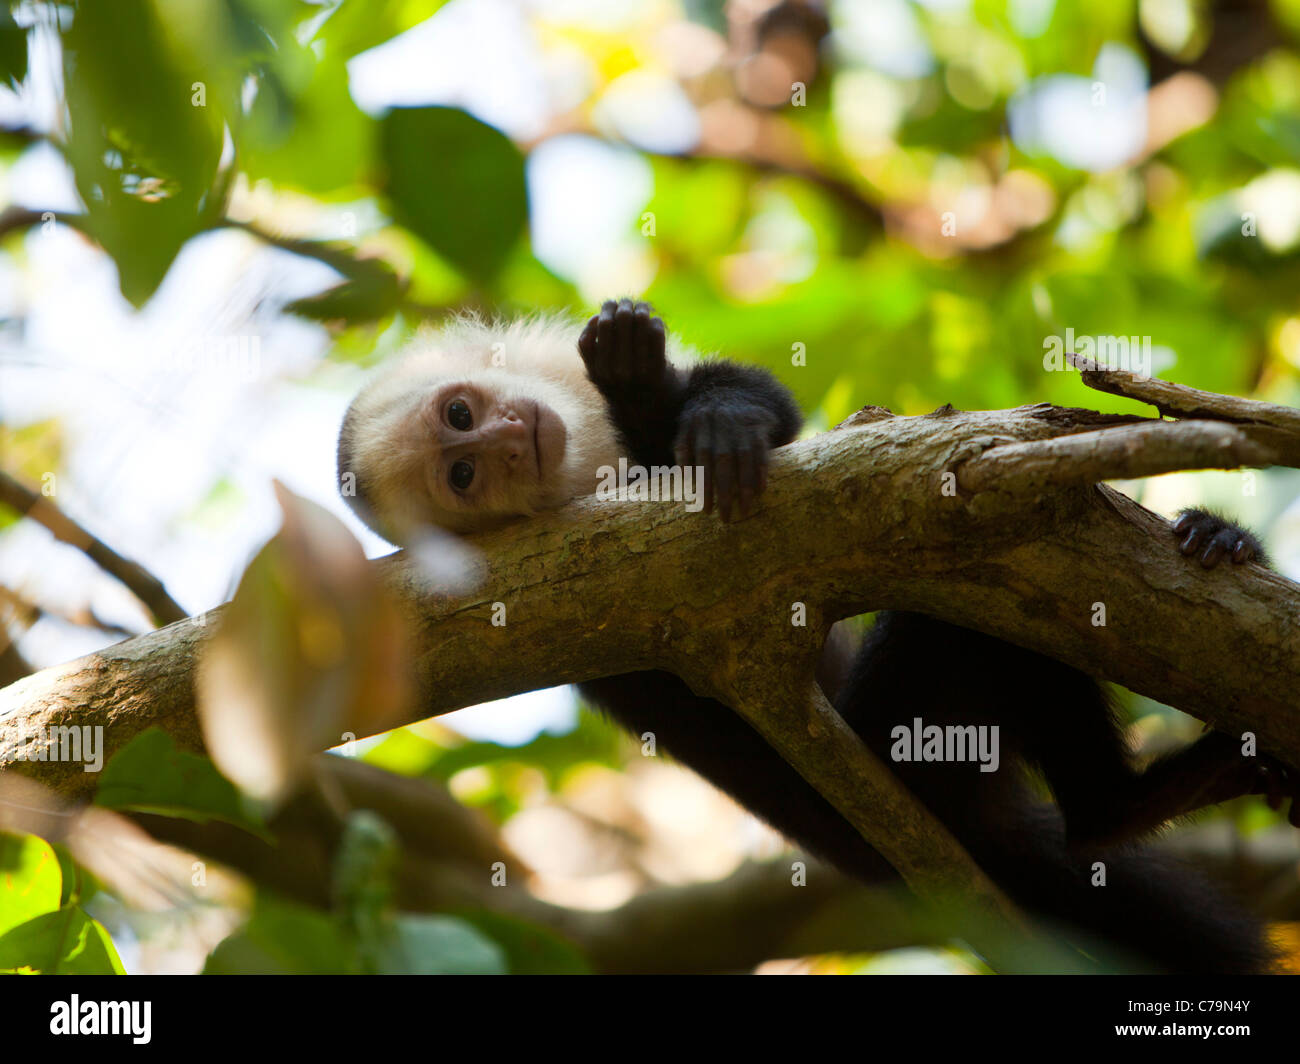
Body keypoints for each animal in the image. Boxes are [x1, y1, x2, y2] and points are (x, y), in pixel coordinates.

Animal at [338, 298, 1299, 973]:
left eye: (461, 418)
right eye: (464, 475)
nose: (507, 441)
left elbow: (753, 414)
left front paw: (667, 390)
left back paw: (1220, 547)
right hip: (915, 737)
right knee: (970, 608)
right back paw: (1118, 807)